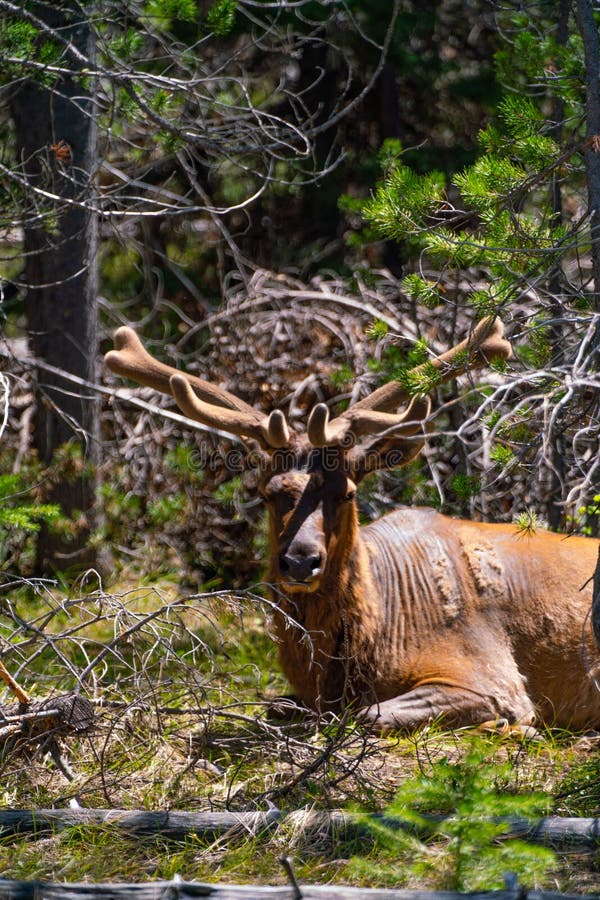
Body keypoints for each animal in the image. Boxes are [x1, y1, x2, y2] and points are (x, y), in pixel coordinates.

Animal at [105, 318, 600, 734]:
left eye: (346, 493)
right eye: (269, 493)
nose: (300, 561)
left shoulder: (491, 675)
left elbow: (369, 714)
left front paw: (507, 726)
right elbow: (276, 705)